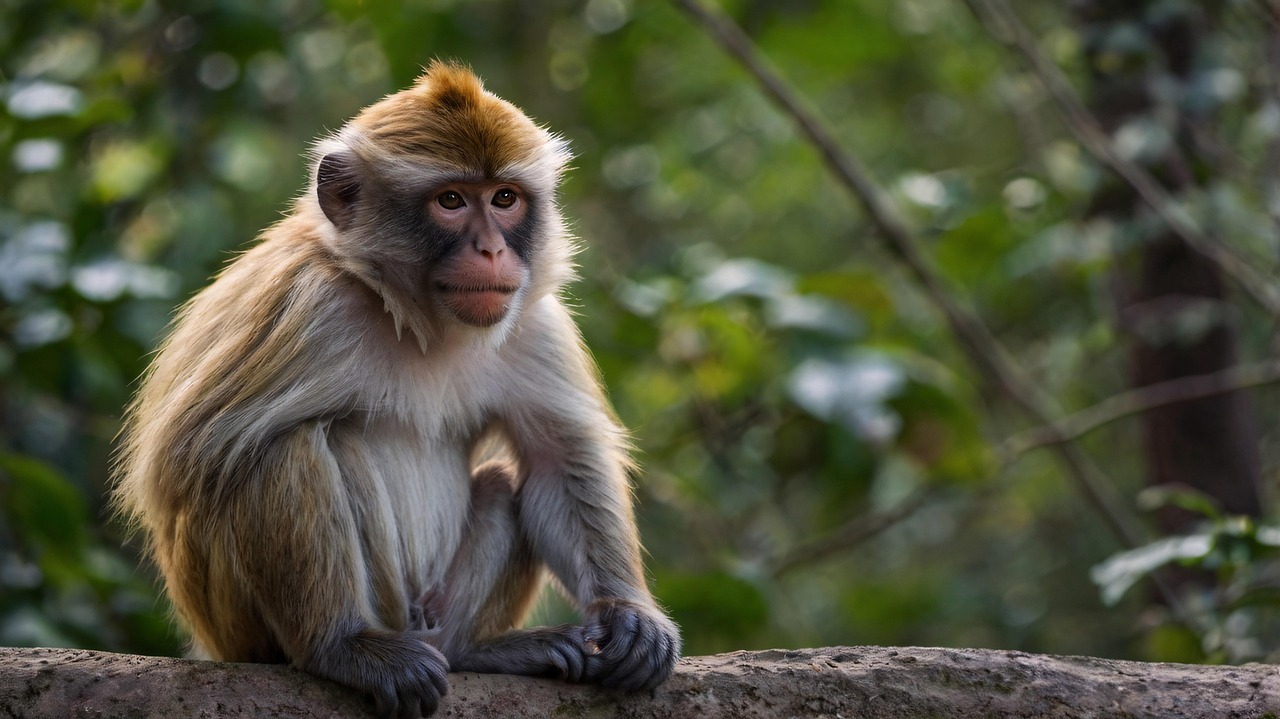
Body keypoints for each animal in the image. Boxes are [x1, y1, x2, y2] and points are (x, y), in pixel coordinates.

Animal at [112, 61, 680, 719]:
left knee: (501, 482)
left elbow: (558, 456)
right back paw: (342, 645)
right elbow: (185, 467)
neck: (419, 321)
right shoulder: (306, 307)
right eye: (451, 200)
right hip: (237, 626)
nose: (492, 249)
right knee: (283, 445)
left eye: (504, 198)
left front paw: (628, 615)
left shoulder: (531, 322)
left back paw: (472, 650)